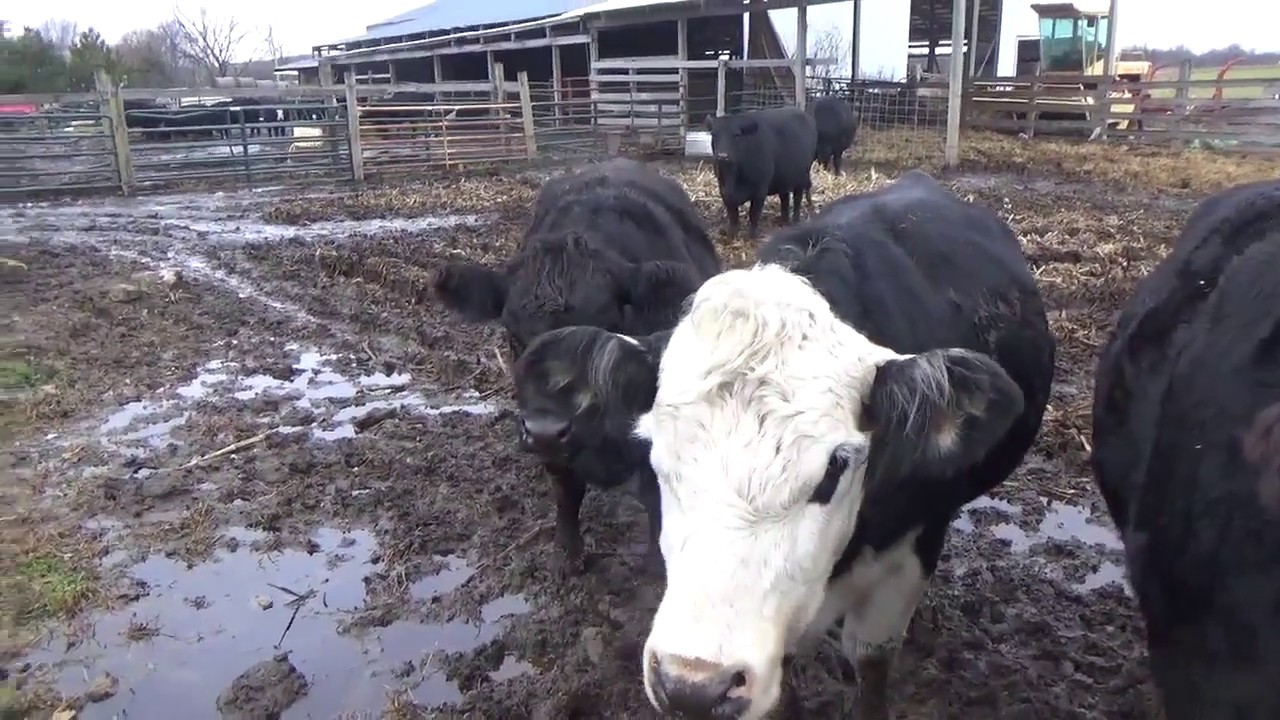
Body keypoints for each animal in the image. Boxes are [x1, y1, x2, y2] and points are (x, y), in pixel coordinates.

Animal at [705, 106, 818, 239]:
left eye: (737, 135)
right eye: (714, 134)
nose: (722, 156)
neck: (733, 177)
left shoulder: (760, 190)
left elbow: (753, 213)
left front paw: (751, 236)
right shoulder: (724, 190)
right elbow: (733, 215)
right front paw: (731, 234)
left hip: (801, 176)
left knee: (797, 199)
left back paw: (795, 221)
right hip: (783, 178)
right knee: (784, 198)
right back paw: (783, 220)